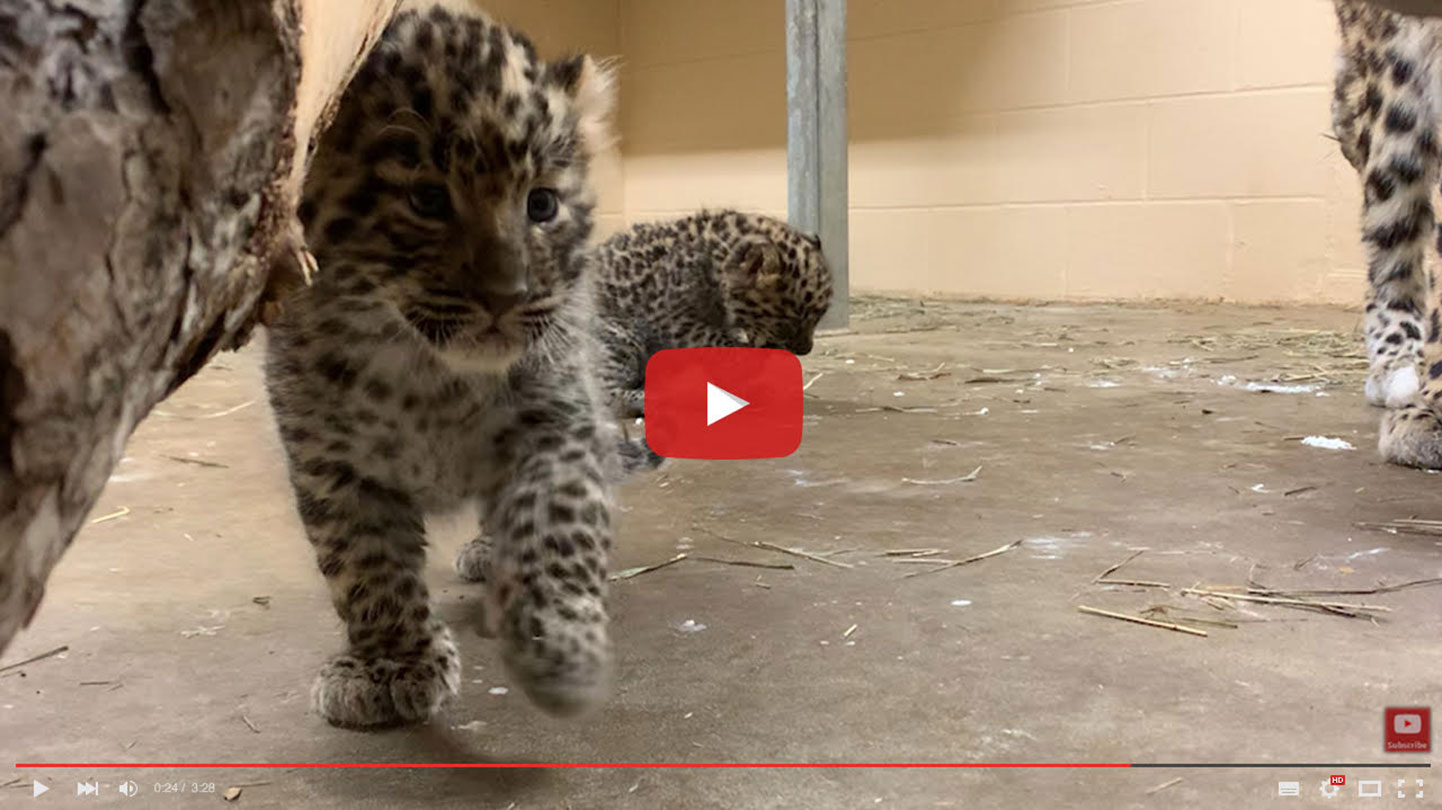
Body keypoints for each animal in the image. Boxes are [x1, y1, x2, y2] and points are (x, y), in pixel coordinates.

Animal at [263, 2, 619, 726]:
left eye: (542, 204)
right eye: (427, 200)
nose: (507, 296)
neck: (429, 376)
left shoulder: (559, 418)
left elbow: (557, 523)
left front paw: (561, 648)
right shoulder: (332, 463)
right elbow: (363, 566)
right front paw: (387, 667)